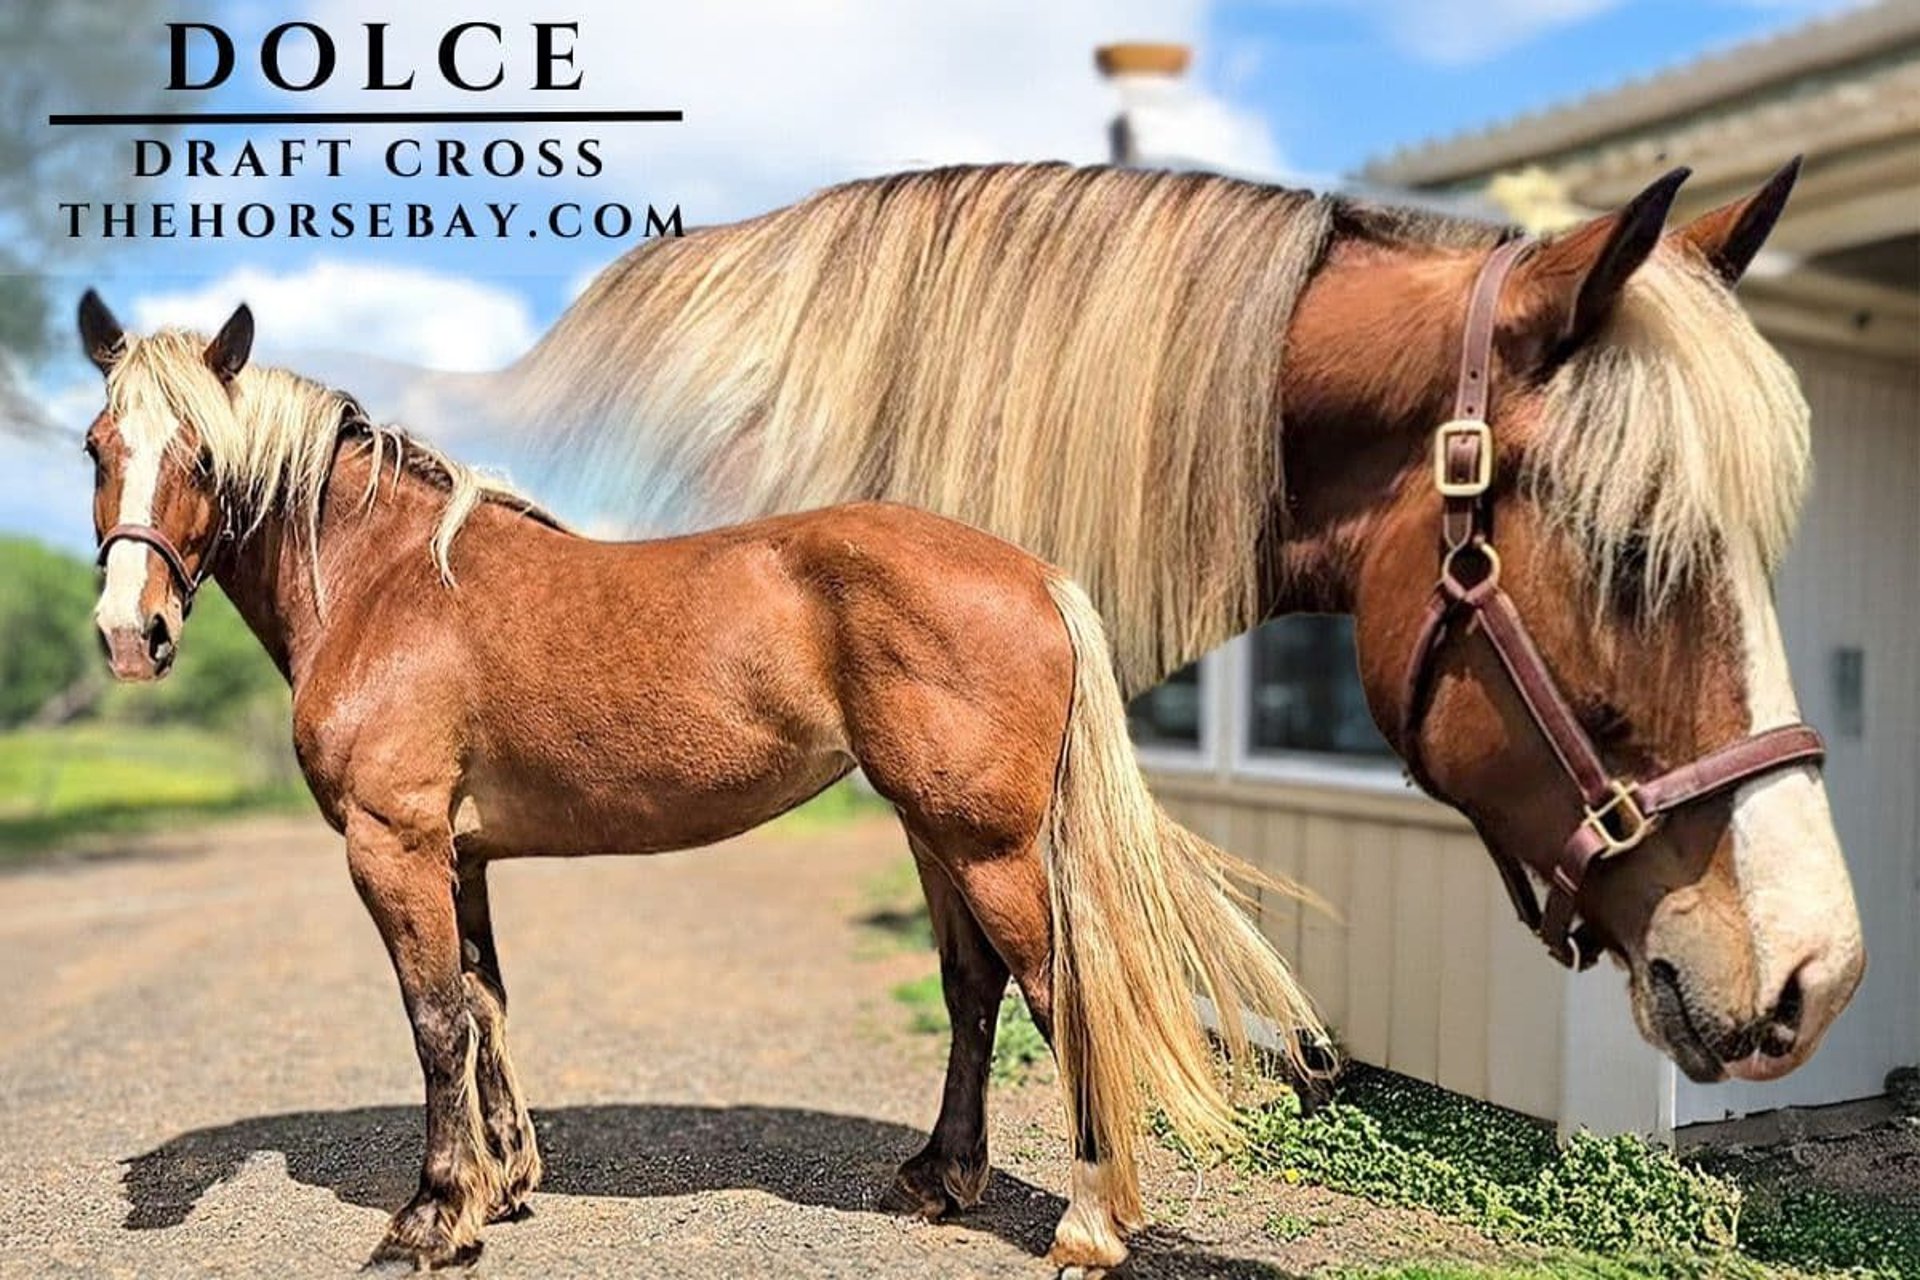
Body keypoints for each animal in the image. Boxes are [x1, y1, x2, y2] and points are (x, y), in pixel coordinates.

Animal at [75, 296, 1326, 1272]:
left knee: (1056, 993)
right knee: (972, 990)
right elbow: (486, 1004)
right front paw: (504, 1182)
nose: (131, 634)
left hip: (990, 844)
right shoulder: (459, 852)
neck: (391, 584)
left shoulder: (394, 841)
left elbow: (434, 1019)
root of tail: (1031, 571)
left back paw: (1087, 1223)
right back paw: (938, 1175)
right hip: (937, 835)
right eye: (97, 445)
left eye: (201, 453)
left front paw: (431, 1216)